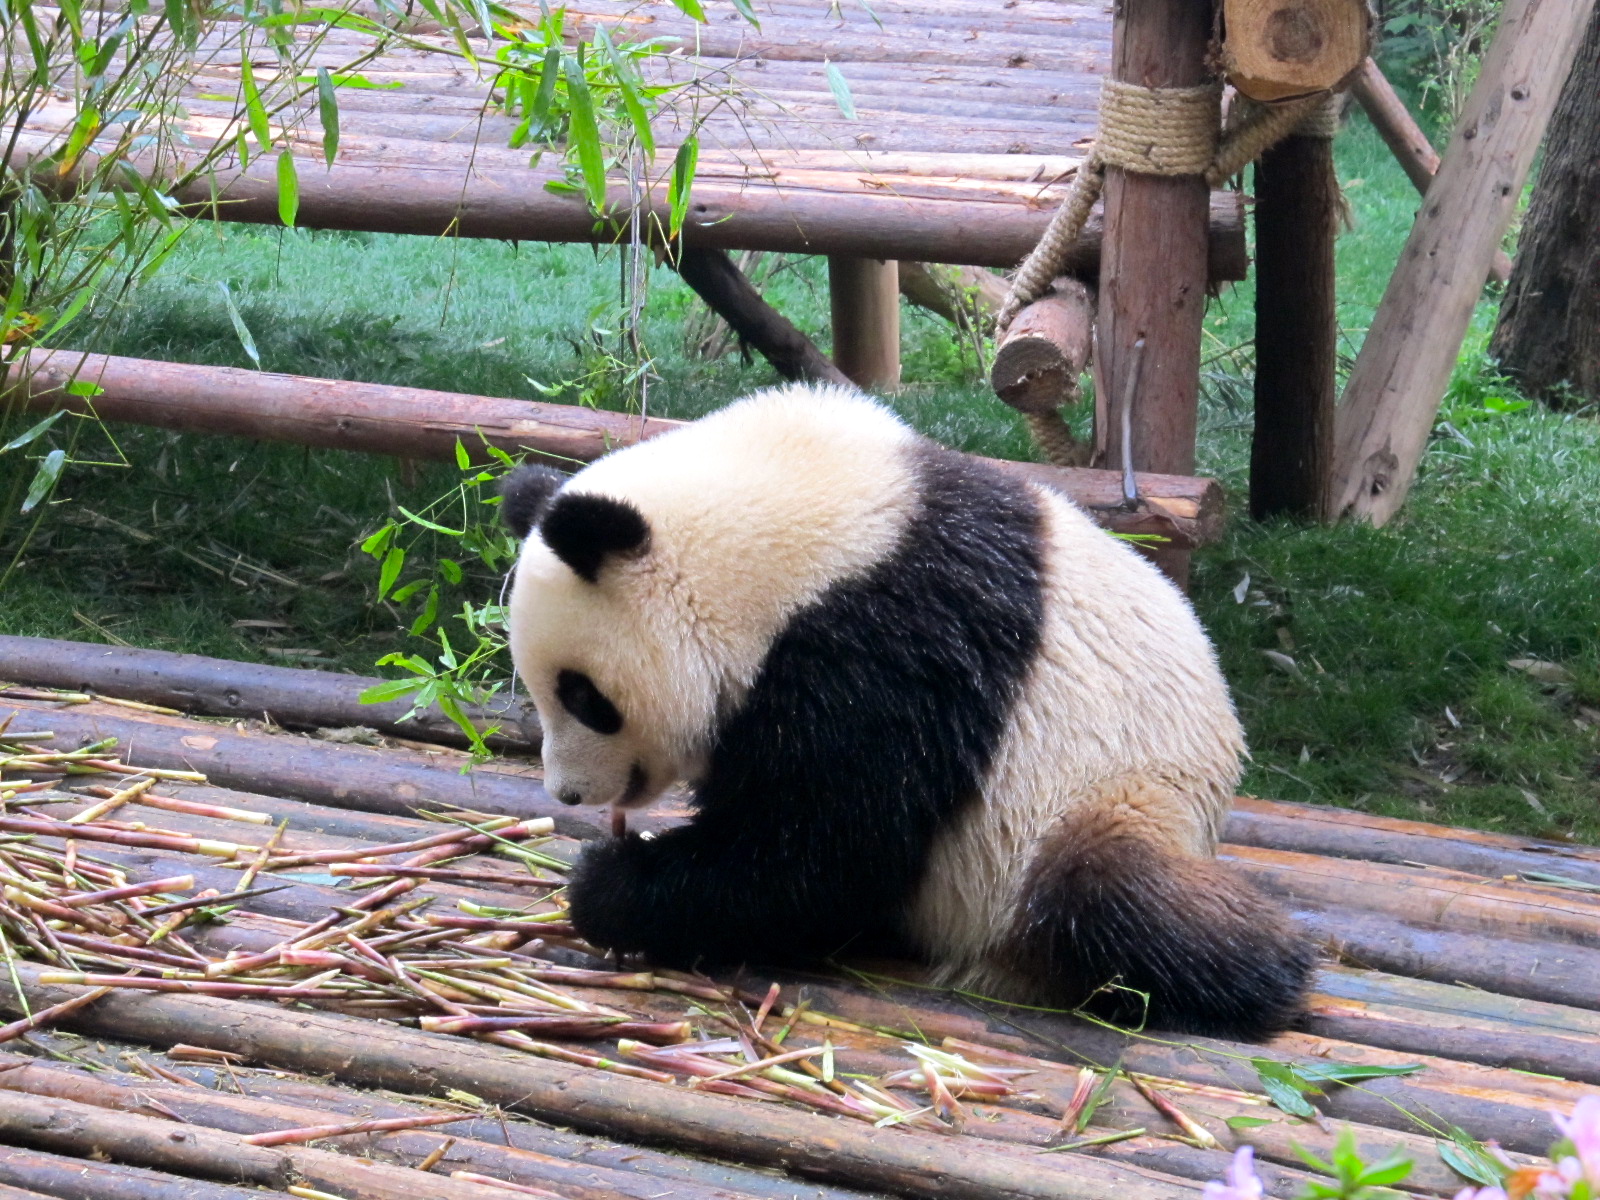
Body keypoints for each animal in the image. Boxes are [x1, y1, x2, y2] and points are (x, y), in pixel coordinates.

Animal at [500, 383, 1315, 1040]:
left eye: (584, 695)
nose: (567, 791)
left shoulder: (888, 647)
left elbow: (822, 850)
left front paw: (609, 885)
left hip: (1106, 796)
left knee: (1112, 894)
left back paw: (1269, 973)